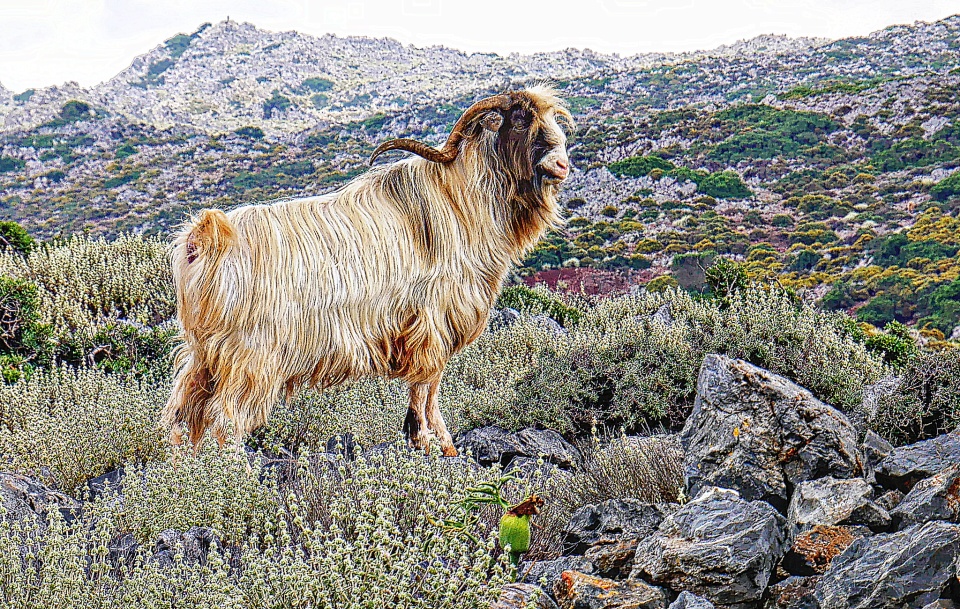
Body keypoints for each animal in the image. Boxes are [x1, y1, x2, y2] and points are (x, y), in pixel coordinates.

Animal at [162, 86, 573, 457]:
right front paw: (434, 442)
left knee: (184, 412)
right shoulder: (431, 324)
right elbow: (427, 387)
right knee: (224, 420)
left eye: (550, 117)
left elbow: (426, 389)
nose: (561, 165)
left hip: (204, 353)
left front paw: (431, 441)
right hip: (249, 355)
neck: (459, 201)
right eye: (519, 118)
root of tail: (205, 238)